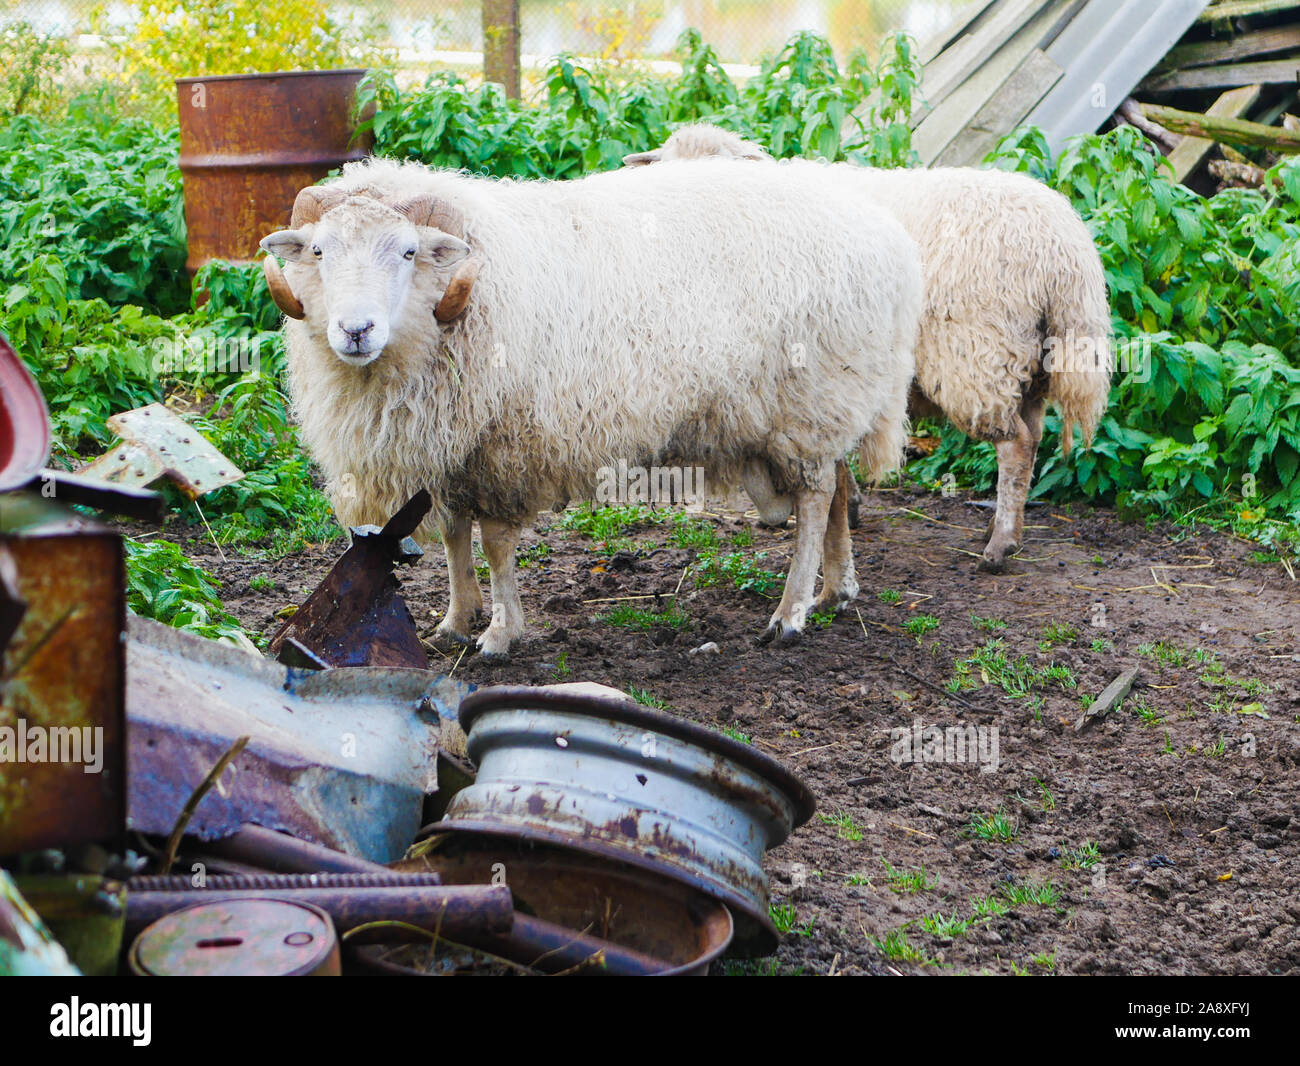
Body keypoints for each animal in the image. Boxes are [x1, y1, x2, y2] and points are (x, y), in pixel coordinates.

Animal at [260, 156, 922, 658]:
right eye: (318, 252)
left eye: (406, 253)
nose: (355, 330)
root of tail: (889, 236)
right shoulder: (453, 449)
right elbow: (452, 536)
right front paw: (456, 619)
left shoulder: (506, 449)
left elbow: (495, 544)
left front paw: (500, 633)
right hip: (827, 405)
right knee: (838, 486)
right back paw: (835, 590)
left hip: (812, 401)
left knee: (814, 498)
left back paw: (790, 615)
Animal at [626, 124, 1113, 571]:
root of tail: (1063, 247)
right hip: (1030, 360)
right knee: (1031, 435)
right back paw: (1002, 528)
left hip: (977, 355)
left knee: (1016, 444)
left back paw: (1000, 546)